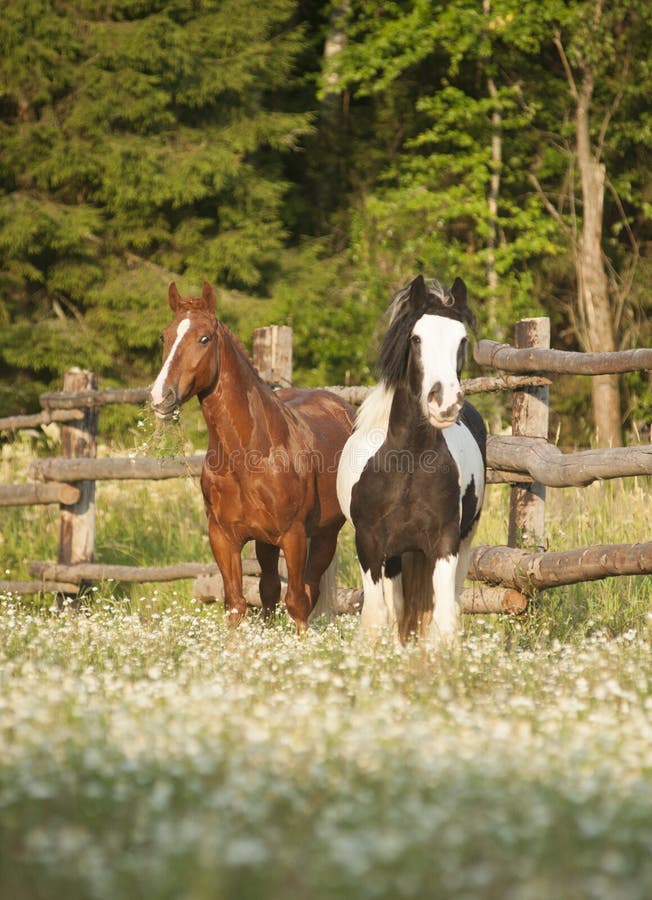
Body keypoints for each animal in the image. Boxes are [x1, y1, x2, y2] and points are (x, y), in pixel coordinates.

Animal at [150, 281, 354, 631]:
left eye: (204, 338)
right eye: (165, 336)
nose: (161, 396)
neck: (248, 455)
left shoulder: (293, 536)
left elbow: (297, 603)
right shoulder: (223, 537)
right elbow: (236, 604)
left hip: (325, 534)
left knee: (308, 590)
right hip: (265, 542)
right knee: (269, 589)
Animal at [336, 274, 486, 646]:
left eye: (462, 339)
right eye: (416, 338)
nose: (445, 403)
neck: (406, 463)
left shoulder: (446, 543)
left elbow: (444, 619)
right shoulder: (369, 544)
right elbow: (377, 619)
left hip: (461, 541)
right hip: (393, 556)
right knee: (397, 611)